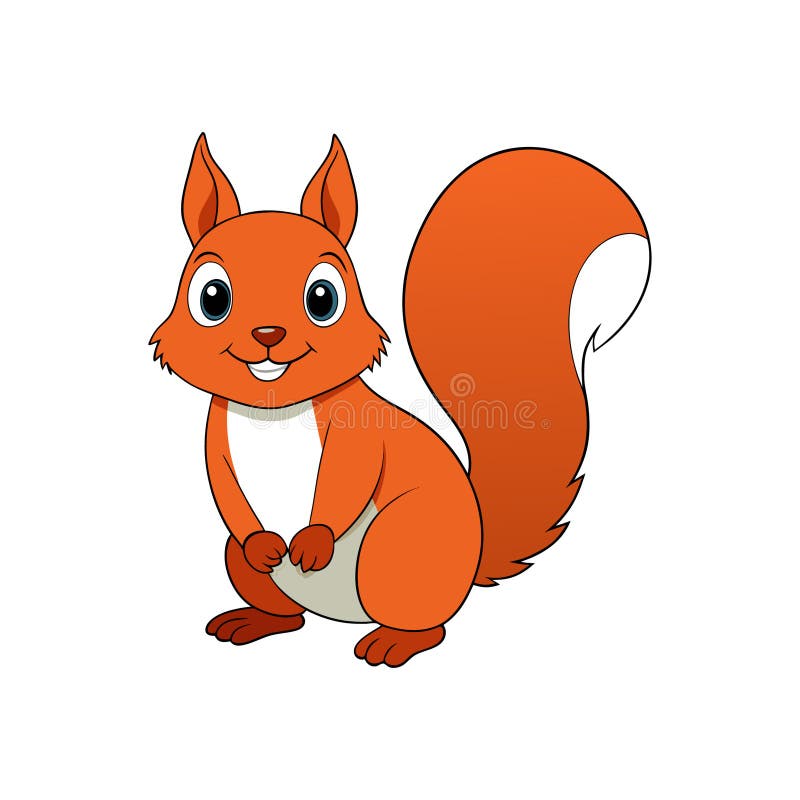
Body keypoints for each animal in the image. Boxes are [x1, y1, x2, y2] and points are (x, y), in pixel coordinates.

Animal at [150, 133, 650, 667]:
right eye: (212, 297)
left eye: (323, 298)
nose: (268, 335)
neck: (273, 410)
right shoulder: (216, 430)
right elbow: (224, 487)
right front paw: (261, 543)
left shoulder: (356, 431)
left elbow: (349, 481)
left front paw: (313, 542)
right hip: (240, 562)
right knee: (291, 615)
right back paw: (257, 619)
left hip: (395, 549)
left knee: (430, 626)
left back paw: (393, 642)